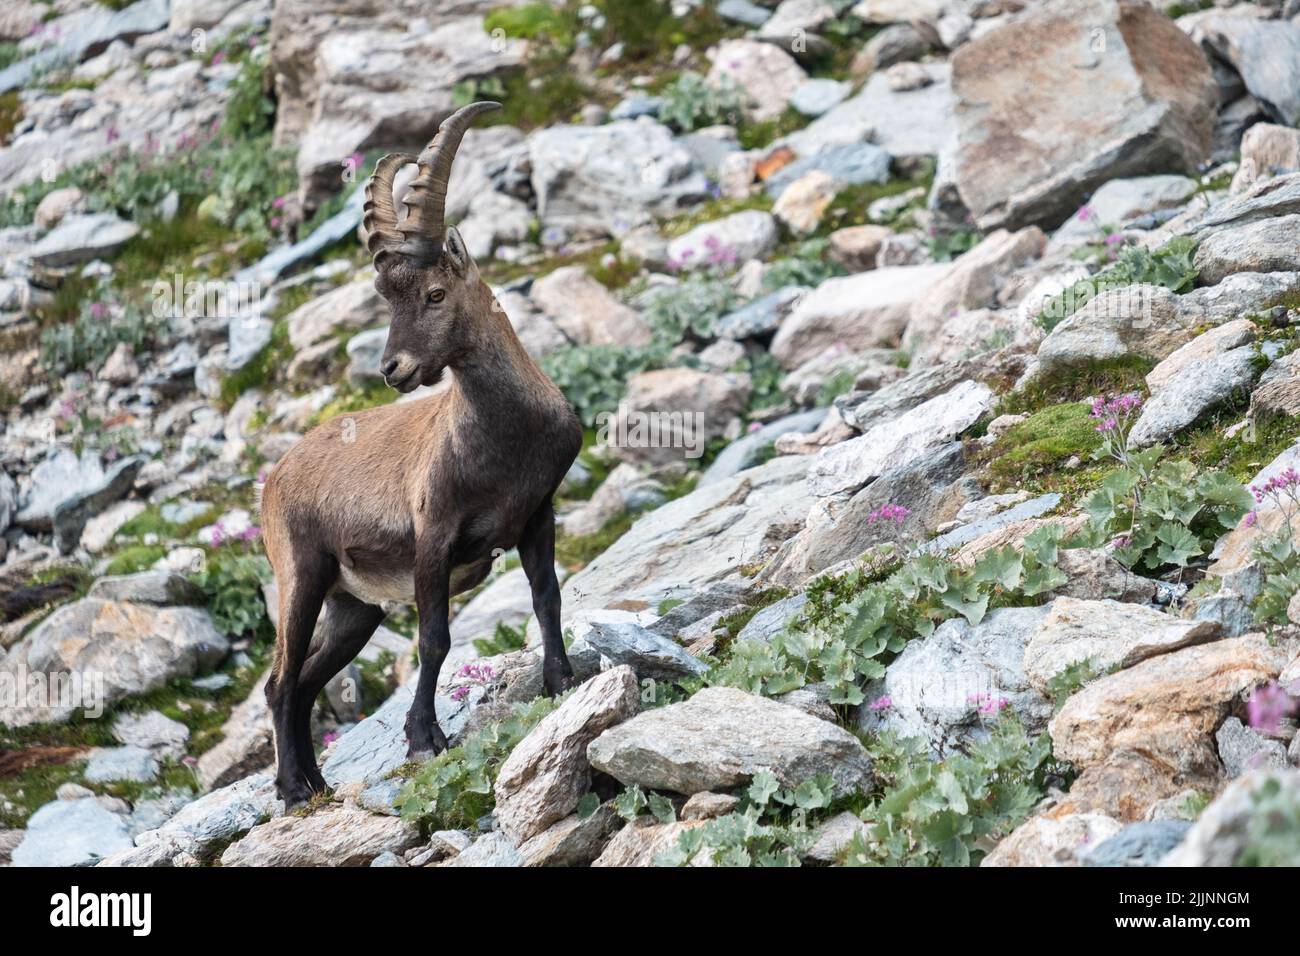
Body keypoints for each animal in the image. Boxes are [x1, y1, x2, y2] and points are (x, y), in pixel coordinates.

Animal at [259, 102, 582, 806]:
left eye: (434, 293)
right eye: (387, 298)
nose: (393, 369)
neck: (503, 437)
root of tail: (273, 481)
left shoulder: (537, 513)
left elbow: (546, 597)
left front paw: (562, 681)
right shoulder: (433, 536)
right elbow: (435, 638)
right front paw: (423, 737)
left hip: (354, 609)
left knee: (304, 683)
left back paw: (317, 783)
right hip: (301, 575)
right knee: (280, 680)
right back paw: (292, 788)